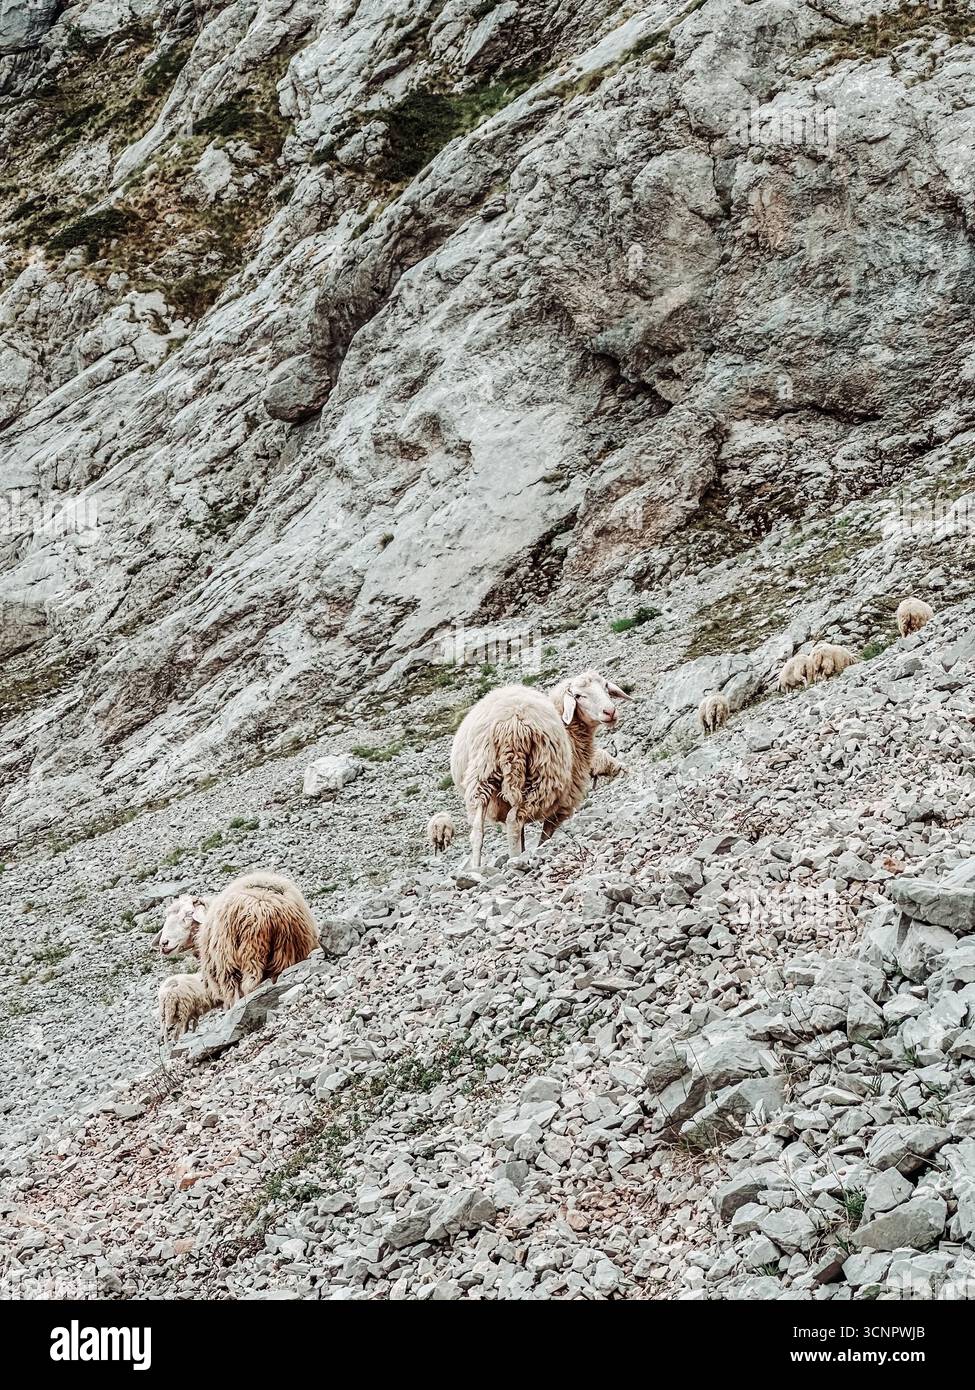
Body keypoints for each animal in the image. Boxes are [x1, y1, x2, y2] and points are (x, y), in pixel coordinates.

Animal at [428, 669, 631, 869]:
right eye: (579, 696)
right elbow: (545, 835)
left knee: (478, 830)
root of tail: (510, 725)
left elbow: (523, 835)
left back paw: (476, 869)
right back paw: (515, 860)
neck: (572, 734)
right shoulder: (561, 803)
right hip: (541, 779)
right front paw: (537, 850)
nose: (610, 711)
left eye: (605, 686)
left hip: (483, 773)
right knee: (514, 820)